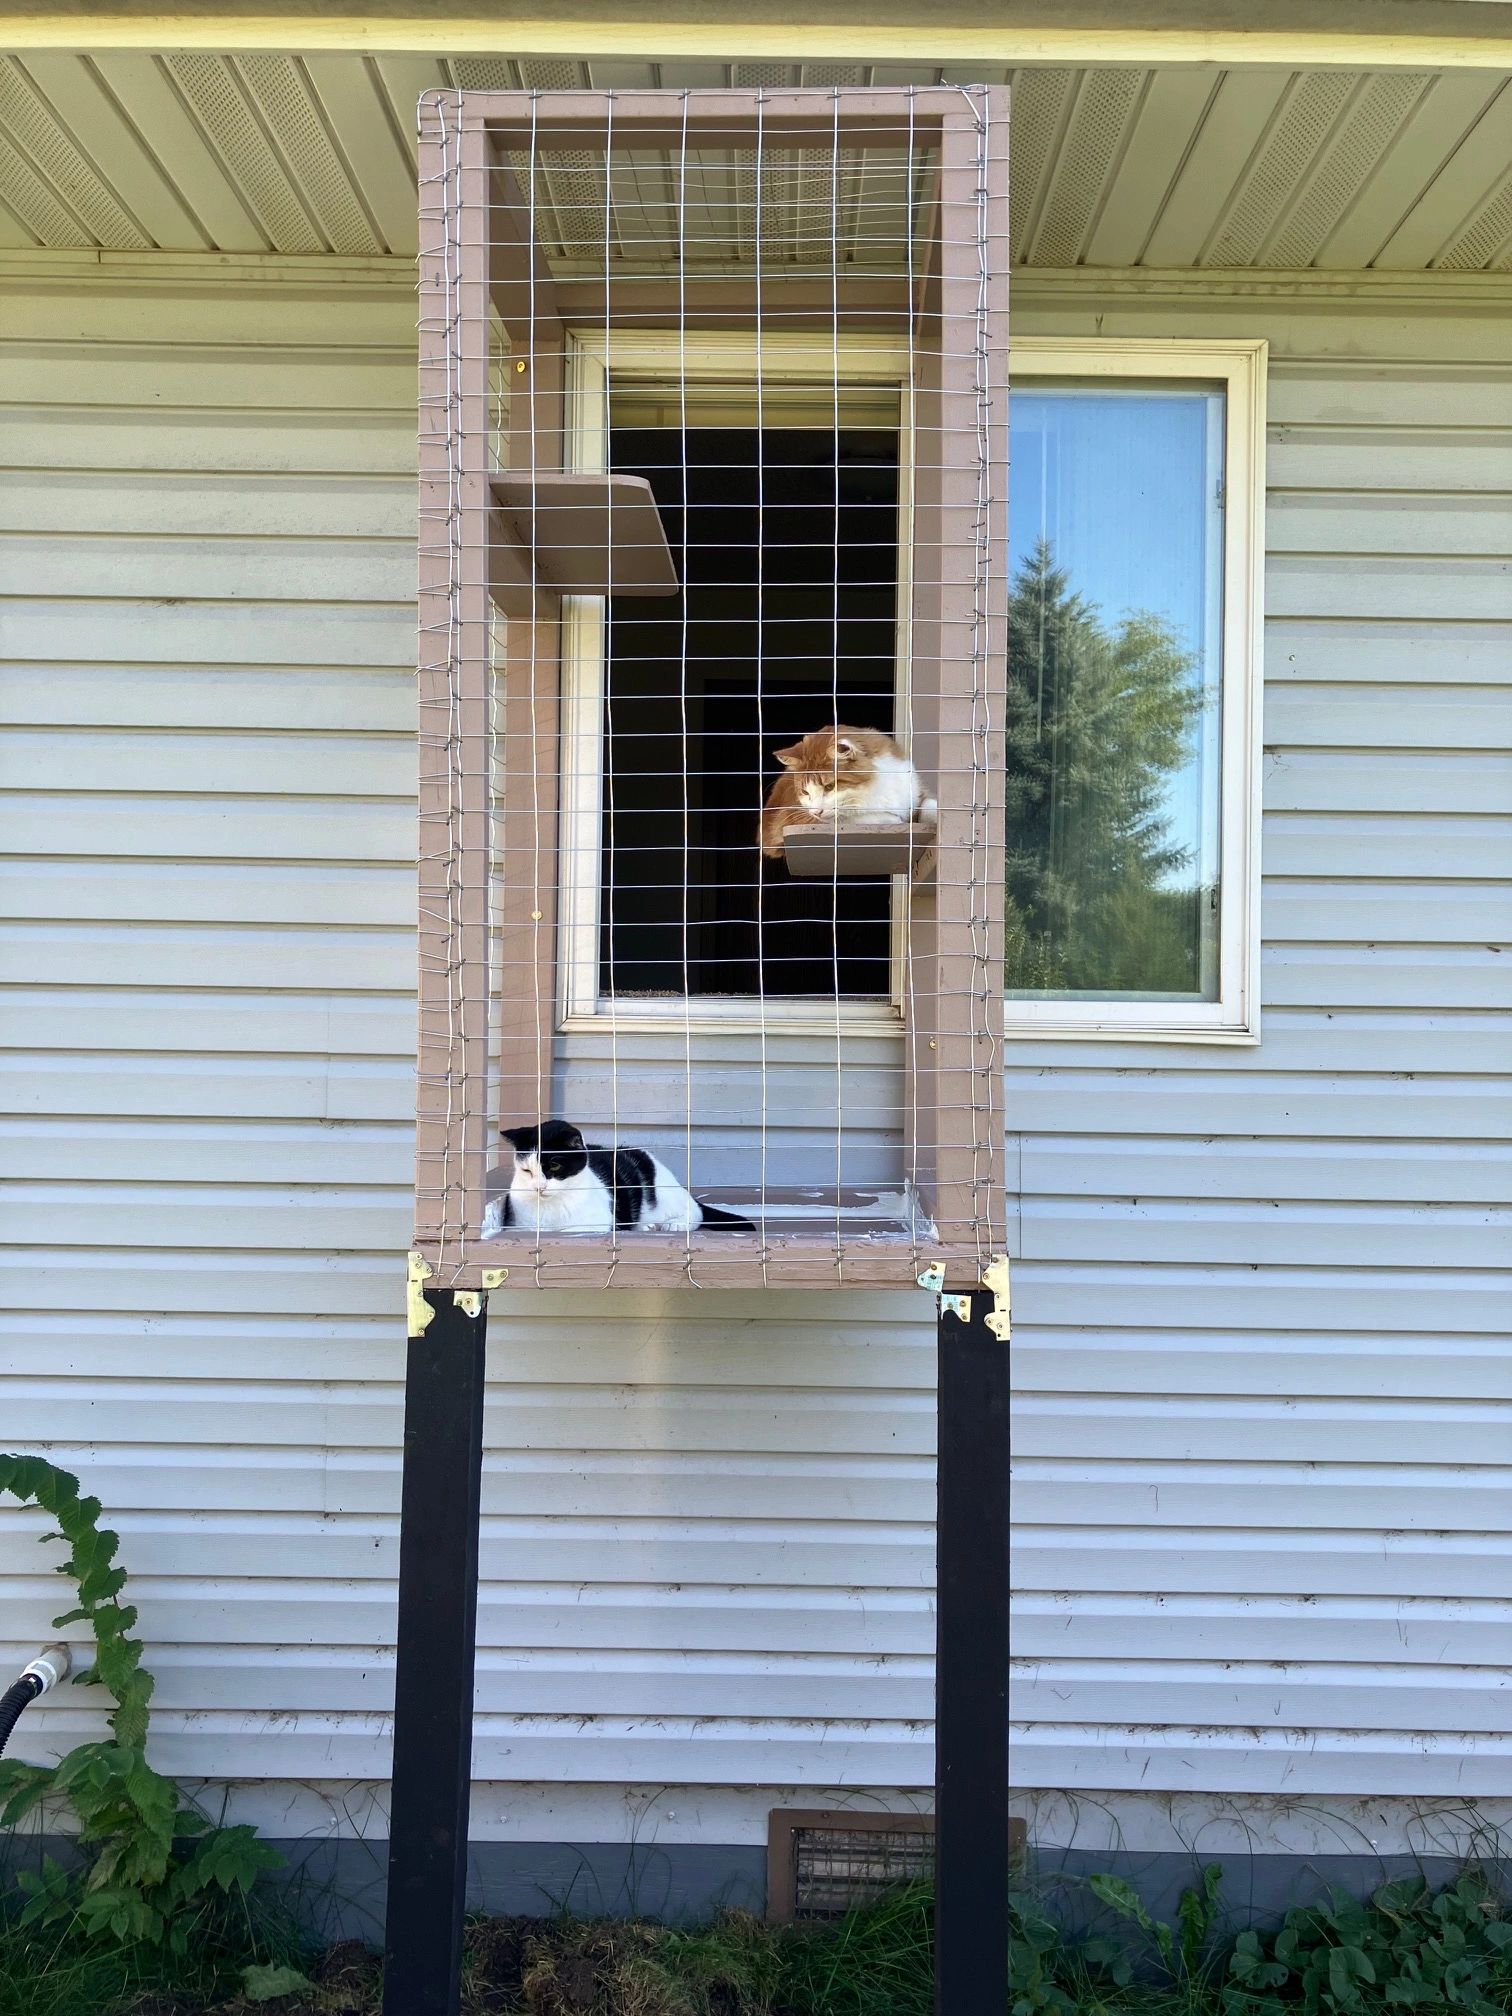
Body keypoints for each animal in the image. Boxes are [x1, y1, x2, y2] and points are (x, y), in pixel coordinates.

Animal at [485, 1128, 758, 1233]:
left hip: (663, 1195)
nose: (539, 1187)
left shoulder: (594, 1223)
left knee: (694, 1210)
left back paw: (673, 1224)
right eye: (526, 1171)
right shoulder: (521, 1226)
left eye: (554, 1165)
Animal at [758, 725, 935, 858]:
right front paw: (895, 819)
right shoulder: (793, 818)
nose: (816, 812)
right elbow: (855, 819)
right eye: (805, 792)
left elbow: (929, 804)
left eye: (829, 786)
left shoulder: (913, 791)